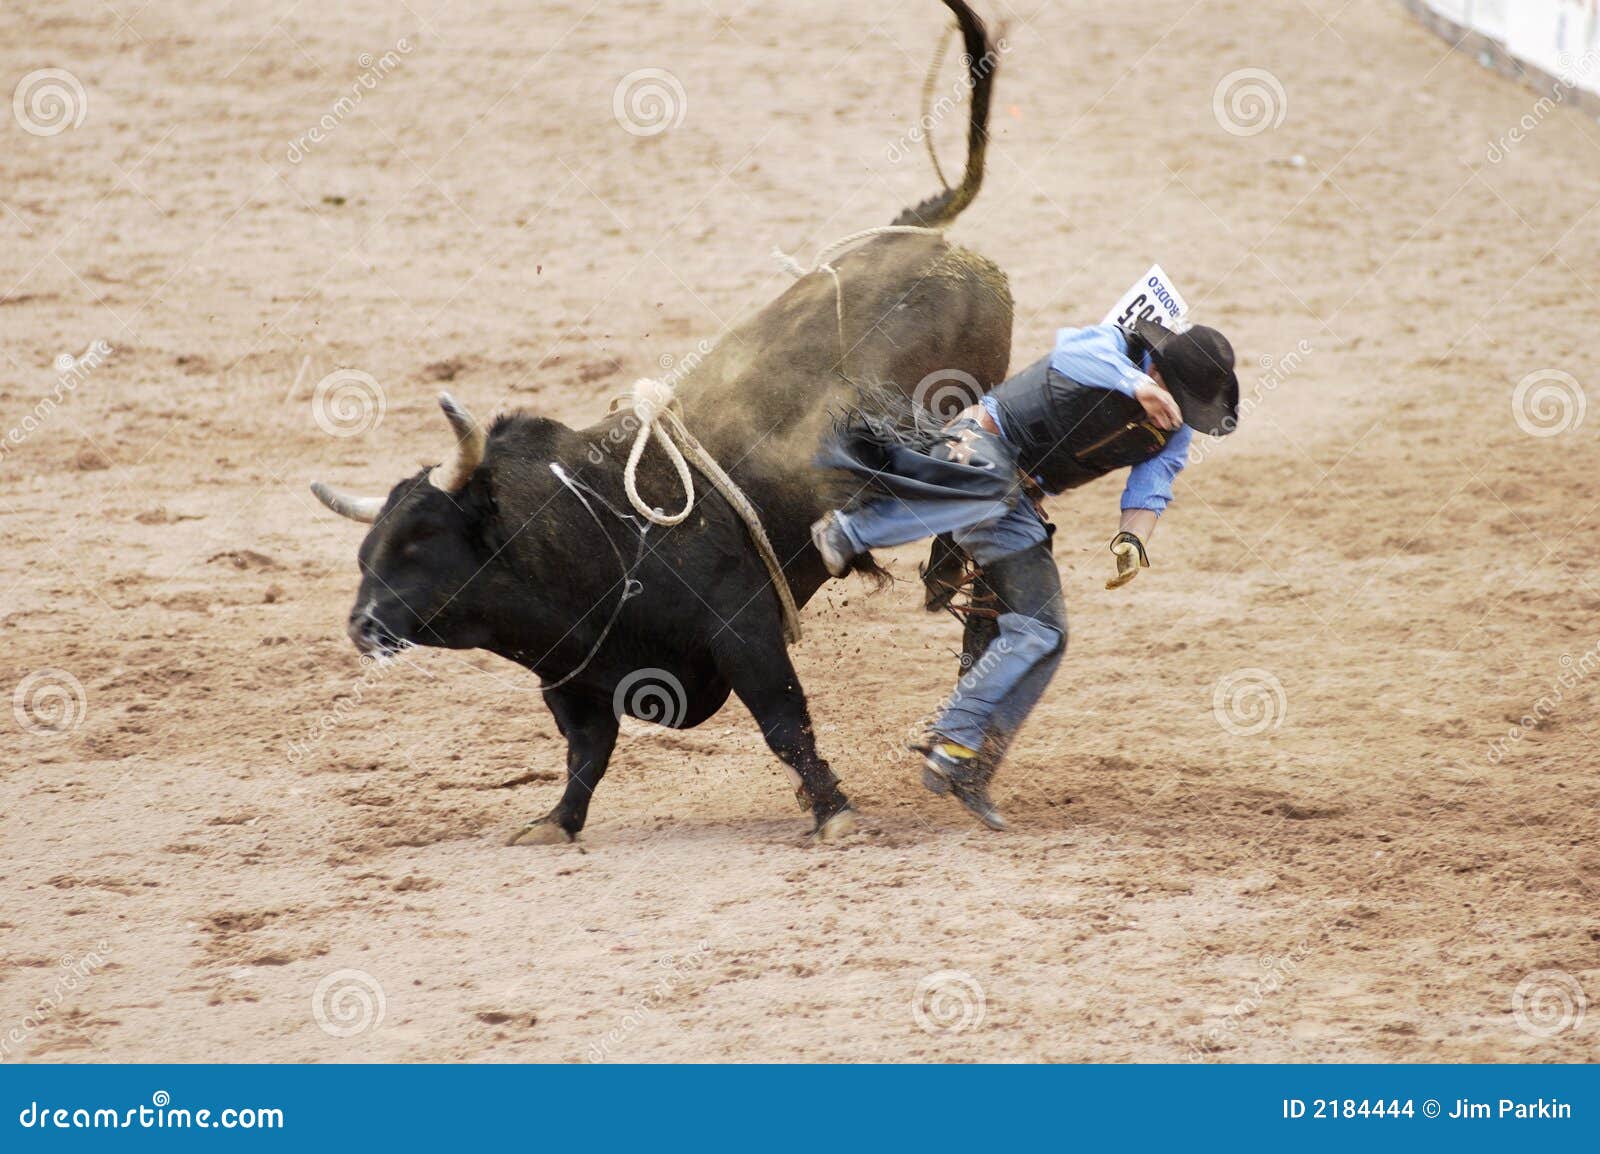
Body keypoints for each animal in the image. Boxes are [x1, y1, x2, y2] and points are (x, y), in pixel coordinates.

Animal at [310, 0, 1013, 844]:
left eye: (418, 541)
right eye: (365, 552)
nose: (362, 626)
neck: (587, 533)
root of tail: (923, 238)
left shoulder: (744, 634)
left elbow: (784, 723)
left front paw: (835, 812)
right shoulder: (572, 676)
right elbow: (588, 749)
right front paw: (556, 822)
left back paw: (949, 585)